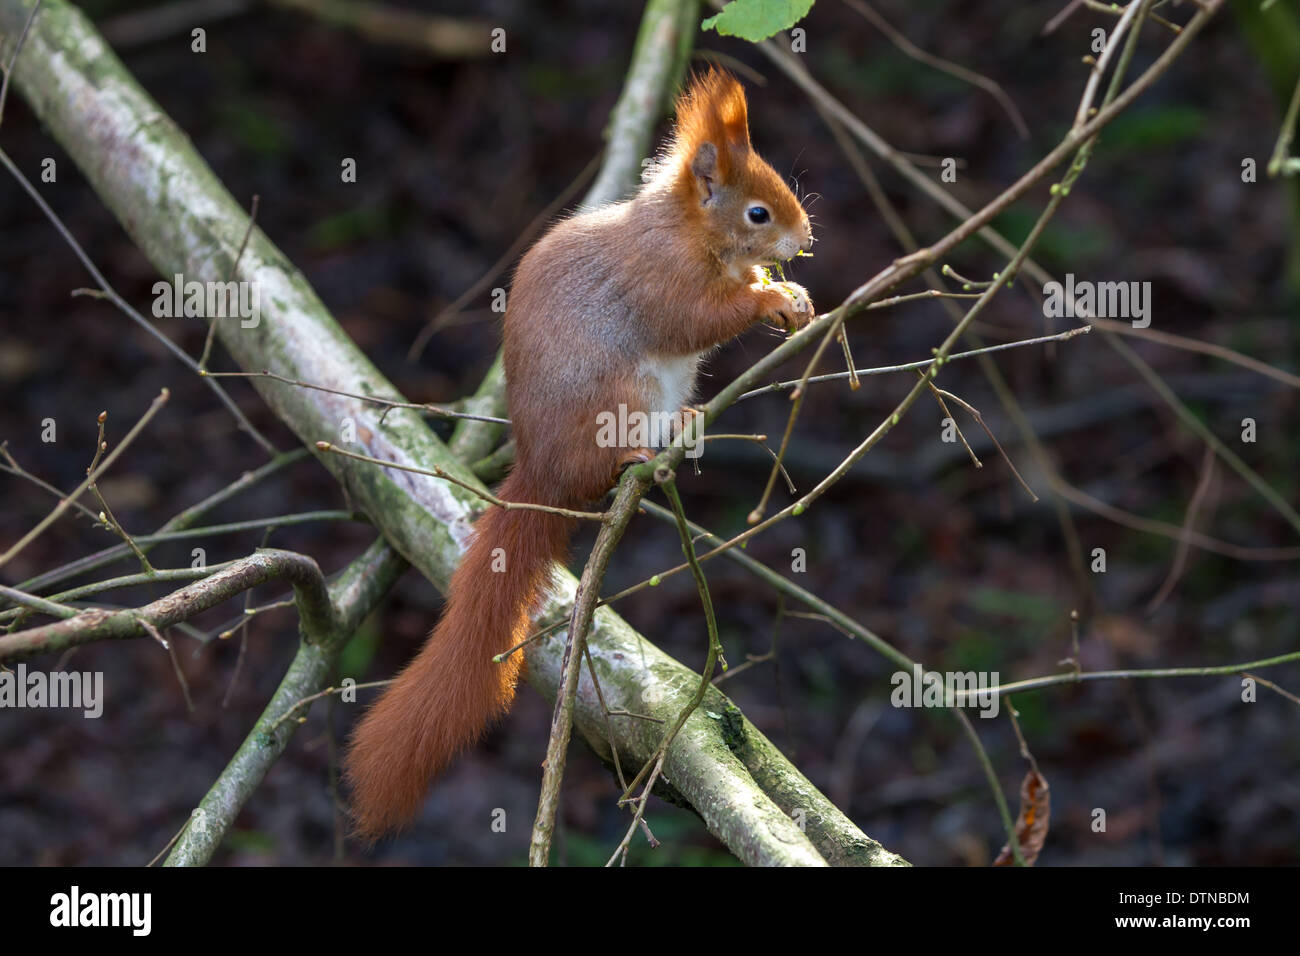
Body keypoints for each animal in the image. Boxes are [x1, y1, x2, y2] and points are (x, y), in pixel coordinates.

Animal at [344, 68, 815, 839]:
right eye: (757, 213)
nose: (805, 239)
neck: (686, 231)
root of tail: (541, 468)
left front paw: (792, 294)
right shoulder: (662, 281)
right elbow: (697, 320)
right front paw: (767, 301)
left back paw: (688, 423)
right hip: (617, 396)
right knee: (603, 465)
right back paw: (632, 459)